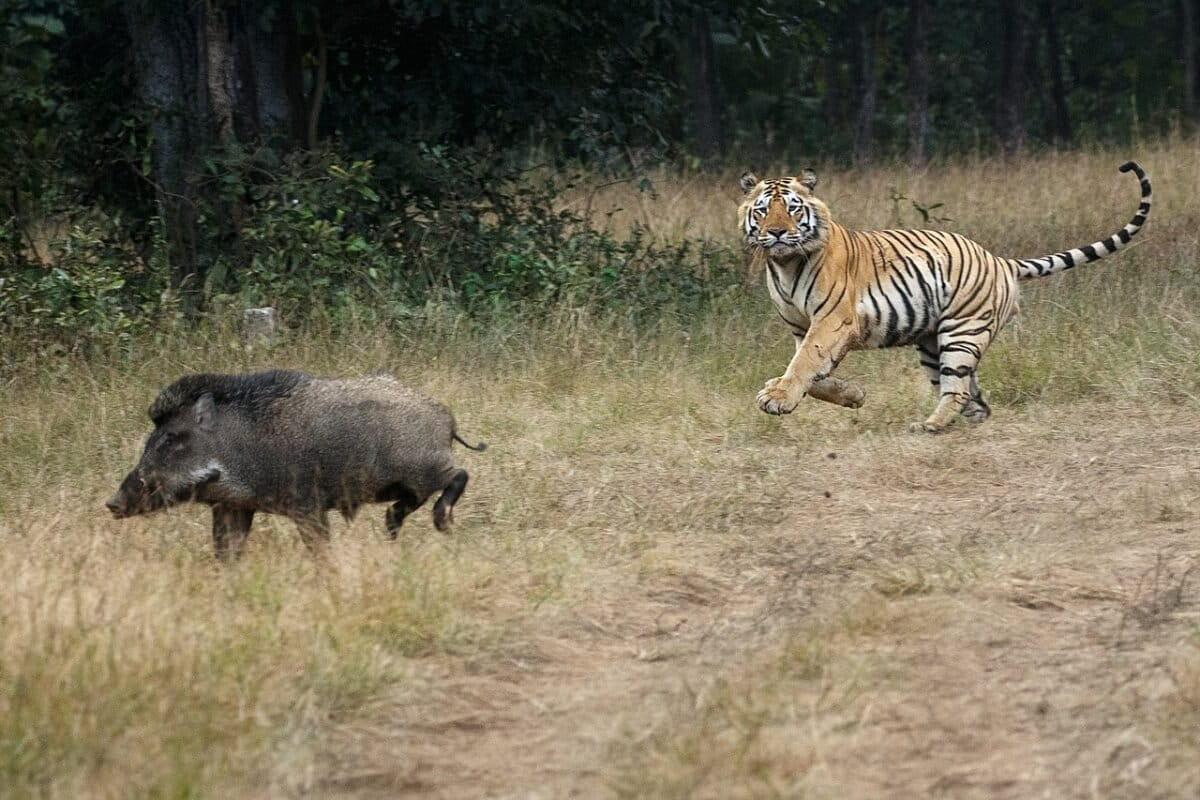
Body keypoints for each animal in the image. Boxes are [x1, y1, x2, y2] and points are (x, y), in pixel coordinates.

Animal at [738, 161, 1152, 432]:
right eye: (763, 210)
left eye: (792, 208)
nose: (776, 233)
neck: (785, 264)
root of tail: (999, 260)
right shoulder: (802, 327)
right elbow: (813, 371)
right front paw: (852, 395)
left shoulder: (832, 321)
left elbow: (805, 363)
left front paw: (777, 397)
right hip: (933, 343)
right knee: (972, 396)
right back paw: (959, 423)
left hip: (961, 333)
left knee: (958, 389)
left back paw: (930, 426)